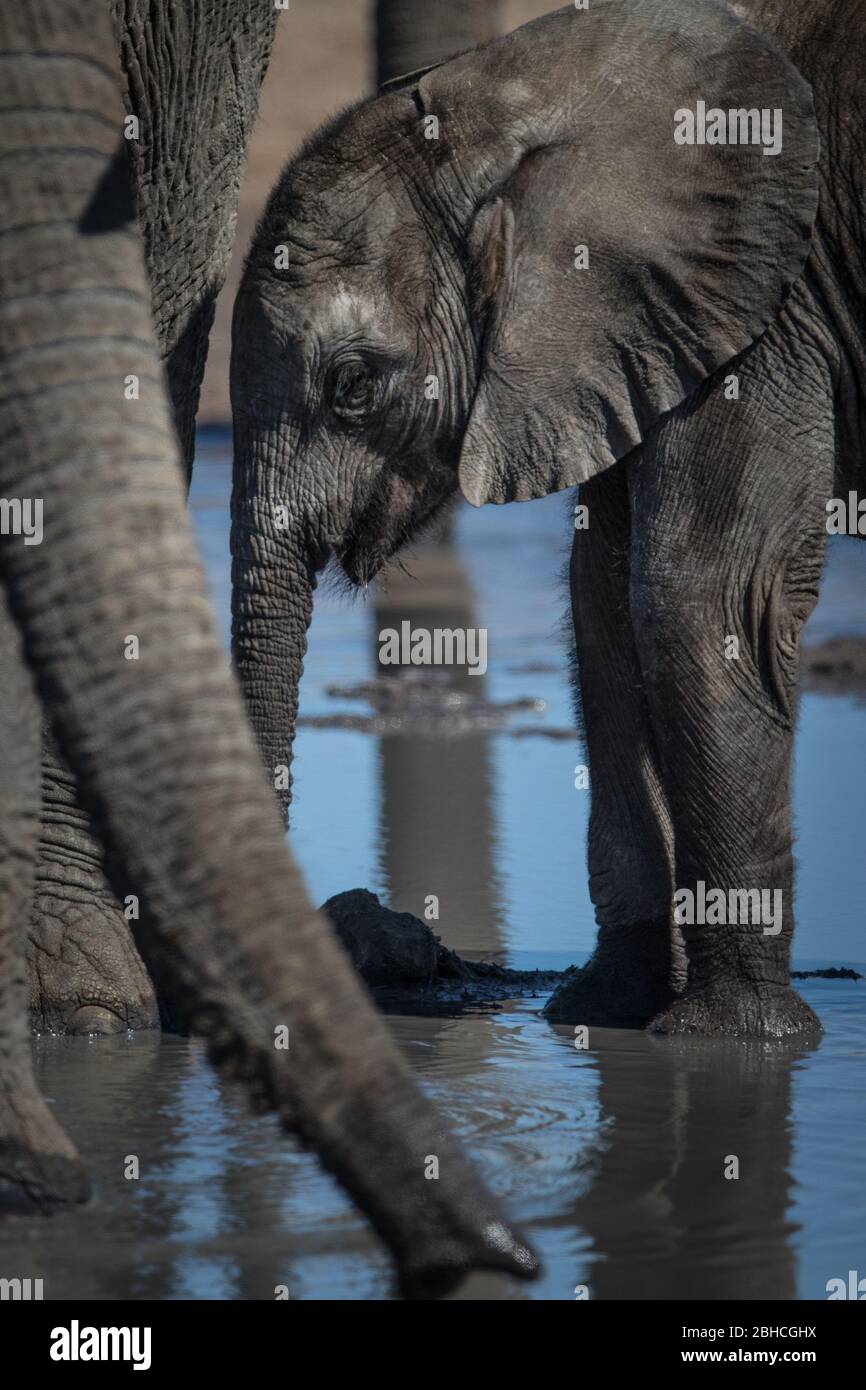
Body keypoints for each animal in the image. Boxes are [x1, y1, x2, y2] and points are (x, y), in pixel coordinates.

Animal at [229, 0, 863, 1037]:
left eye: (353, 385)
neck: (512, 95)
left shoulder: (769, 312)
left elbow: (696, 595)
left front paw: (732, 1041)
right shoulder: (643, 331)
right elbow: (602, 601)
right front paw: (603, 1011)